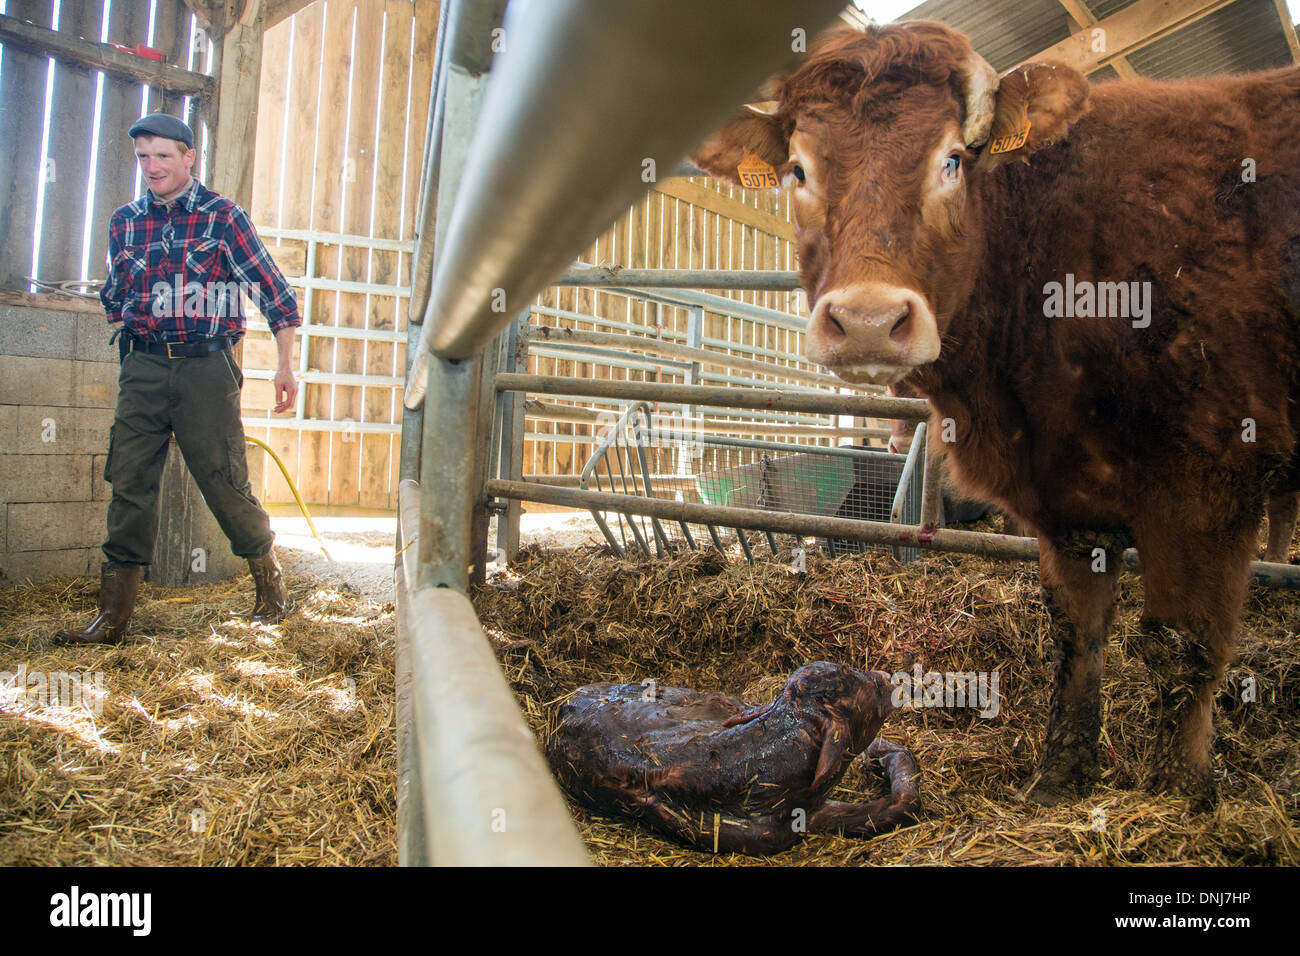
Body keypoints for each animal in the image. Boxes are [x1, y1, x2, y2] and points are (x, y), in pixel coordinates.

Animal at [690, 20, 1300, 805]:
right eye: (798, 170)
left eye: (953, 160)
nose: (867, 321)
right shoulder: (1071, 498)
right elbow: (1078, 632)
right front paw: (1060, 776)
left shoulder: (1205, 483)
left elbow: (1183, 645)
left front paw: (1180, 794)